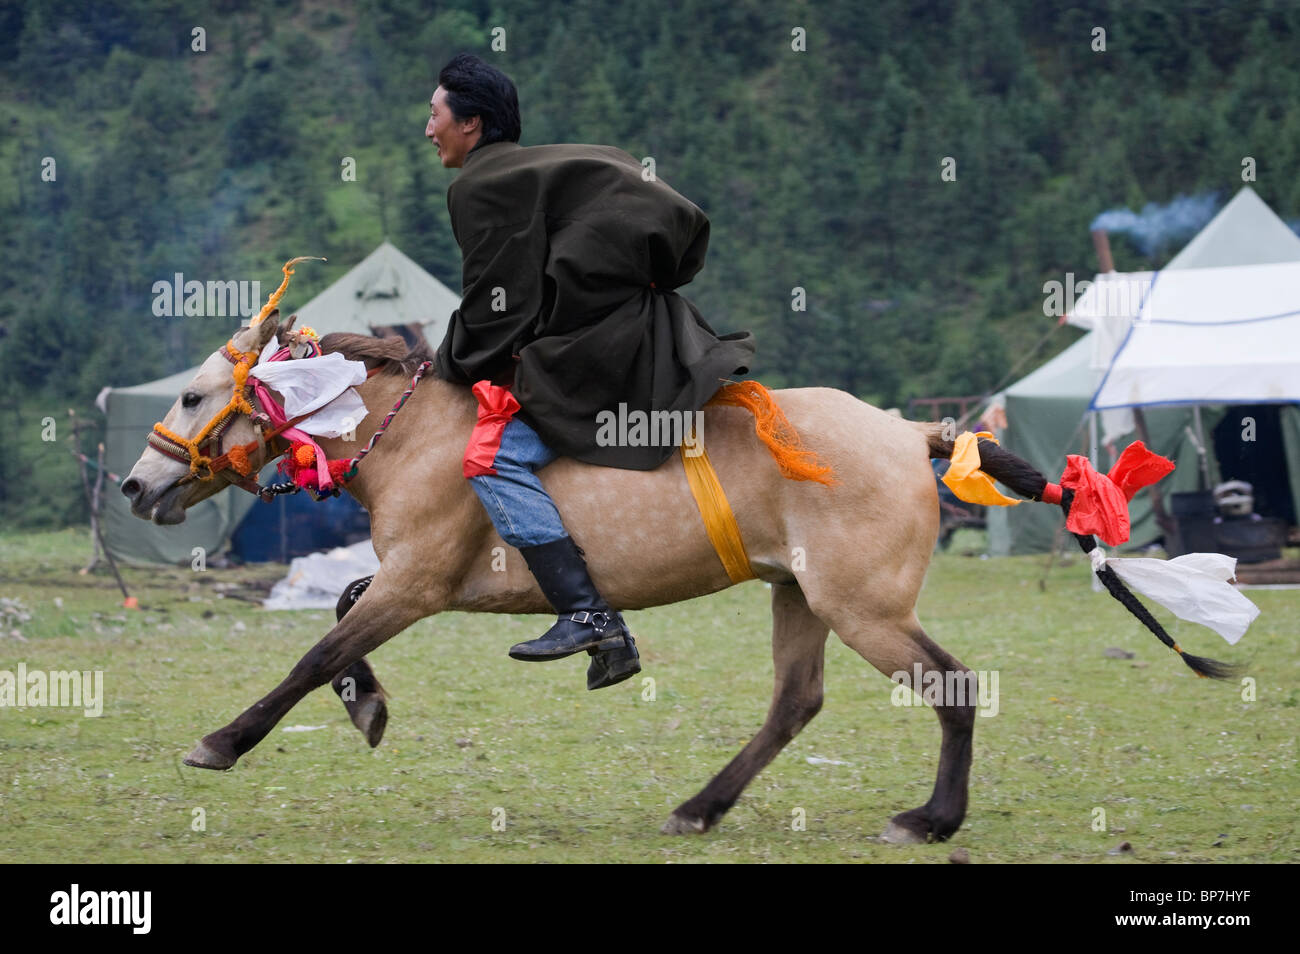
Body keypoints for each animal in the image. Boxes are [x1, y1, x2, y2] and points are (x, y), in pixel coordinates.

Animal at [120, 313, 1234, 843]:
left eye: (195, 392)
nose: (137, 484)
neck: (419, 436)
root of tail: (914, 432)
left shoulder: (421, 584)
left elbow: (315, 651)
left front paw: (224, 742)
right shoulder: (417, 583)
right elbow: (342, 625)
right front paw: (369, 704)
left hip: (861, 605)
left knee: (950, 686)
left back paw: (929, 820)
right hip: (800, 597)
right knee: (794, 704)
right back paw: (702, 806)